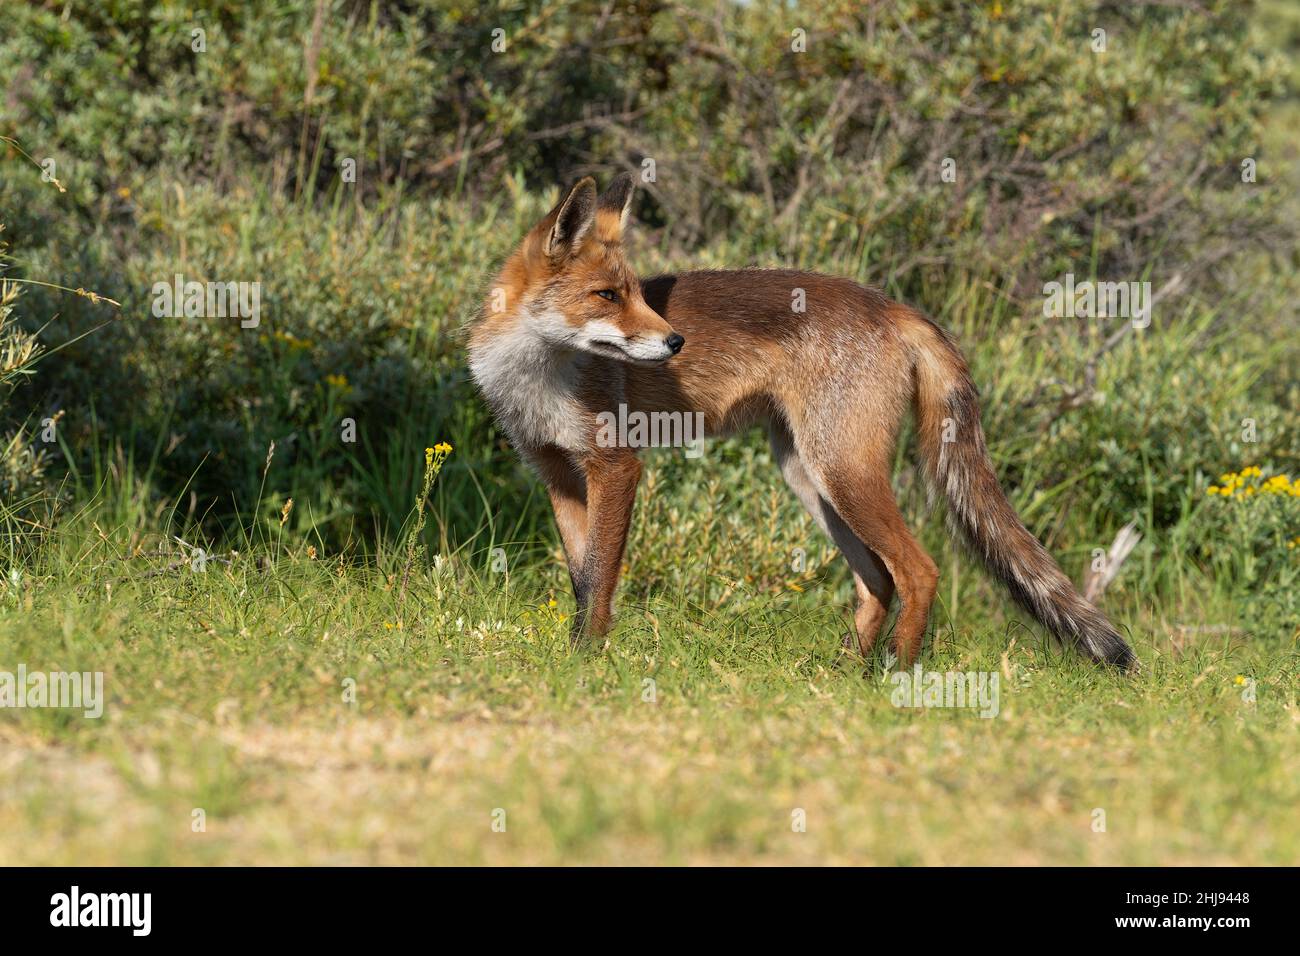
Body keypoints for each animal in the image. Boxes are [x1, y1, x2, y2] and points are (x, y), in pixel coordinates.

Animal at [468, 173, 1137, 669]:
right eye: (608, 296)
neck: (537, 377)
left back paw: (896, 675)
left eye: (637, 294)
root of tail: (893, 304)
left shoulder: (617, 467)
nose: (676, 341)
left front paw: (588, 662)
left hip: (841, 471)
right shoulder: (557, 474)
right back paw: (846, 674)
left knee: (918, 571)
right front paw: (579, 655)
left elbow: (600, 578)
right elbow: (581, 578)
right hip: (809, 479)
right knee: (879, 582)